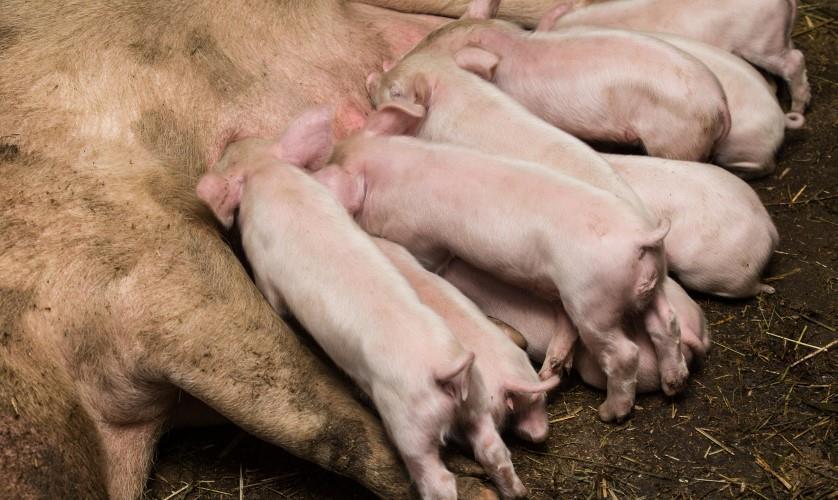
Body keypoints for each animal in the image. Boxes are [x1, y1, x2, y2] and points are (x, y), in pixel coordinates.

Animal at [195, 107, 525, 500]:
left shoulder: (262, 263)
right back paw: (517, 491)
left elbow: (273, 298)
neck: (270, 175)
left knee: (438, 478)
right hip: (476, 401)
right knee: (493, 448)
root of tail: (446, 370)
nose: (229, 143)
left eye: (227, 159)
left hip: (410, 423)